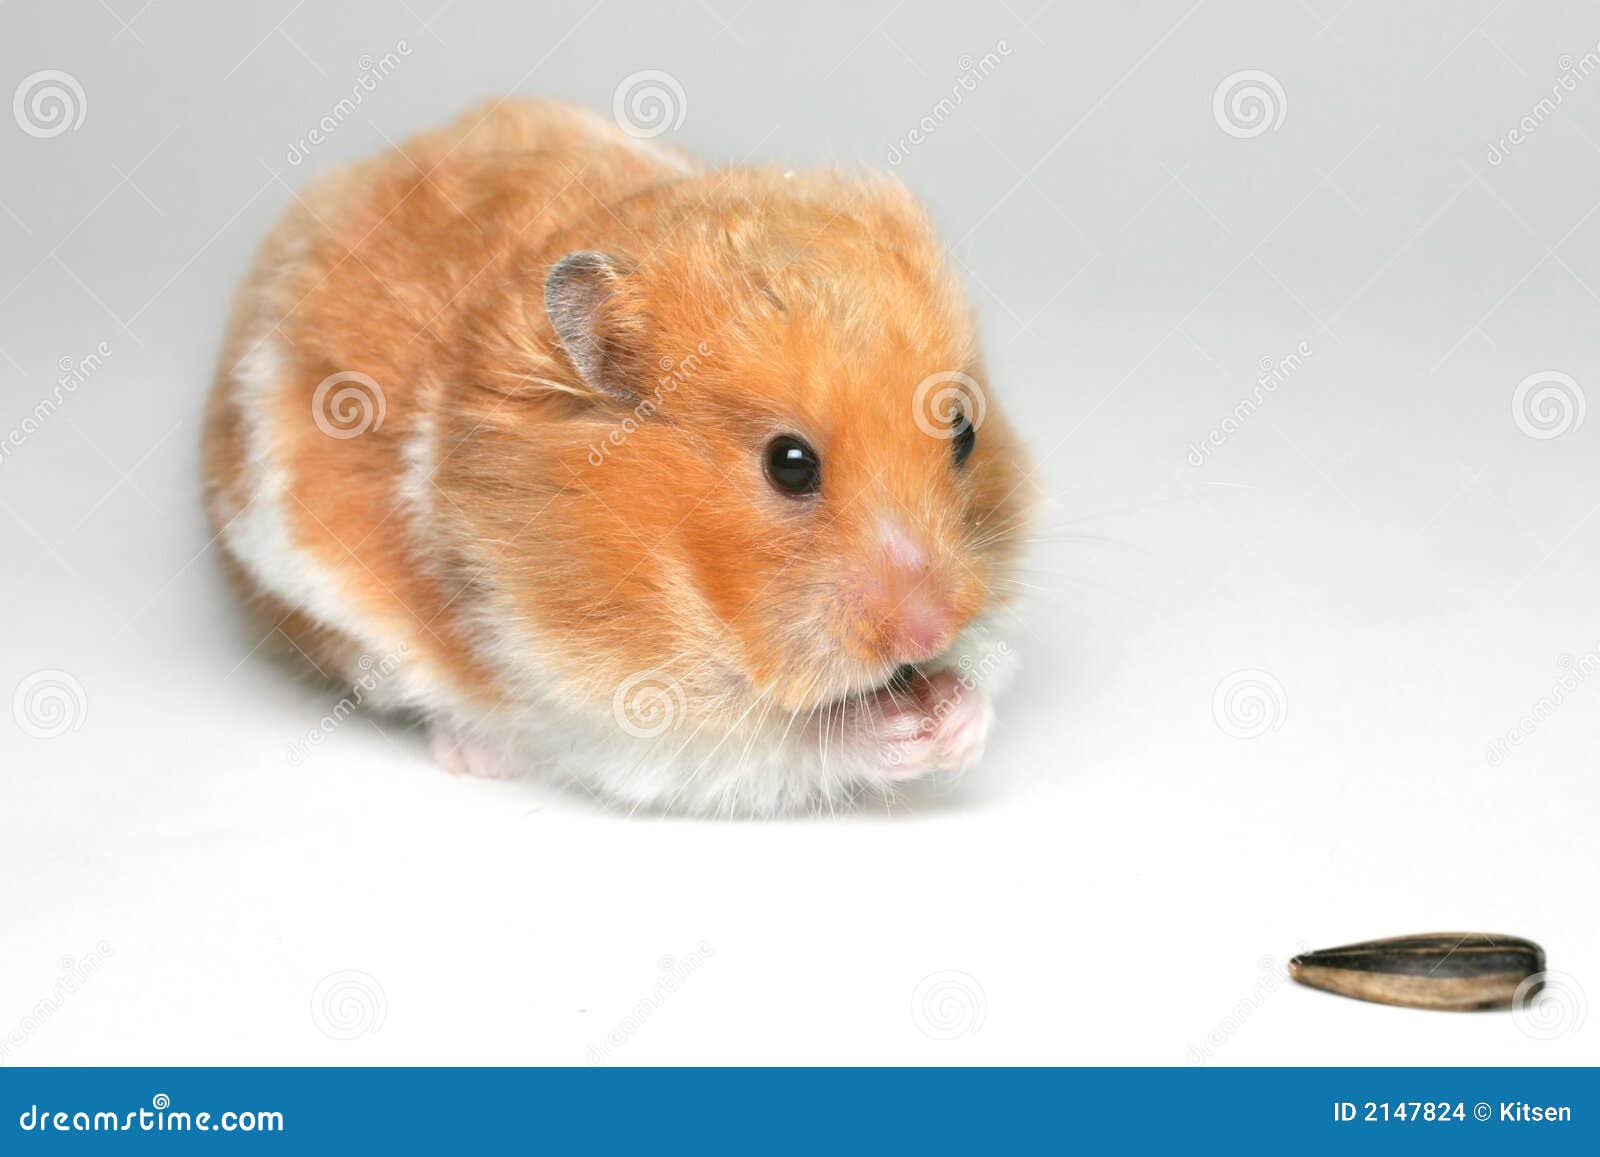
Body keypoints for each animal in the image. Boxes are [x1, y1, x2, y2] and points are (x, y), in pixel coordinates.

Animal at [202, 99, 1037, 816]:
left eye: (964, 431)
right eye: (790, 464)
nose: (931, 629)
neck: (678, 572)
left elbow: (986, 664)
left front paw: (955, 715)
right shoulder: (625, 713)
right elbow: (790, 742)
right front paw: (901, 727)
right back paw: (474, 752)